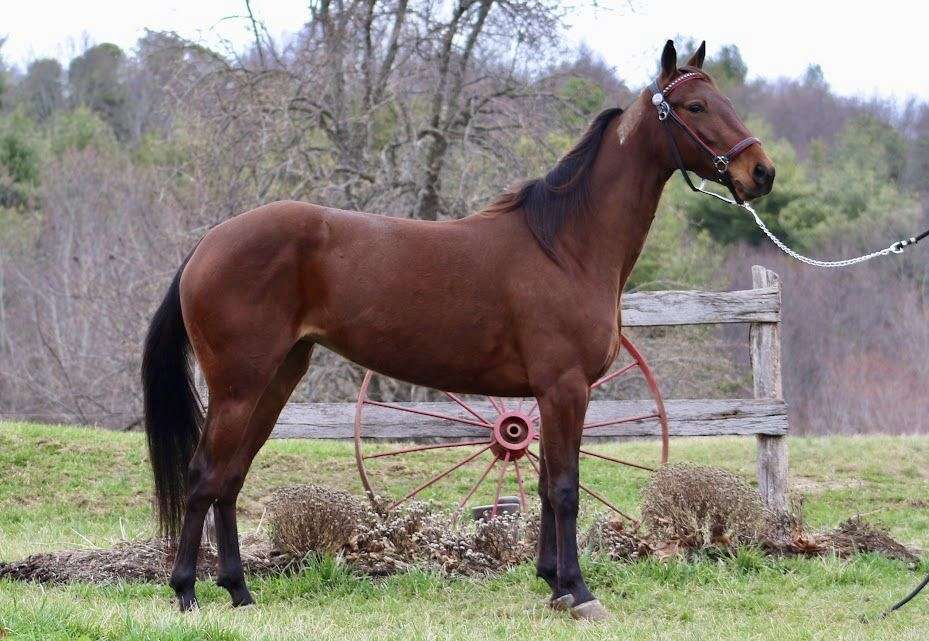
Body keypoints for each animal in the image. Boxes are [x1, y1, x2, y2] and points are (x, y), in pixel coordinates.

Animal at [141, 39, 775, 620]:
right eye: (695, 106)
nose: (761, 172)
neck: (565, 246)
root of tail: (208, 243)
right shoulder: (565, 388)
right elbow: (565, 489)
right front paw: (579, 591)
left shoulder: (548, 395)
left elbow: (545, 485)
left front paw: (553, 583)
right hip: (238, 387)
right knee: (204, 476)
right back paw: (187, 593)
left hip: (275, 380)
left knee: (230, 477)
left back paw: (239, 592)